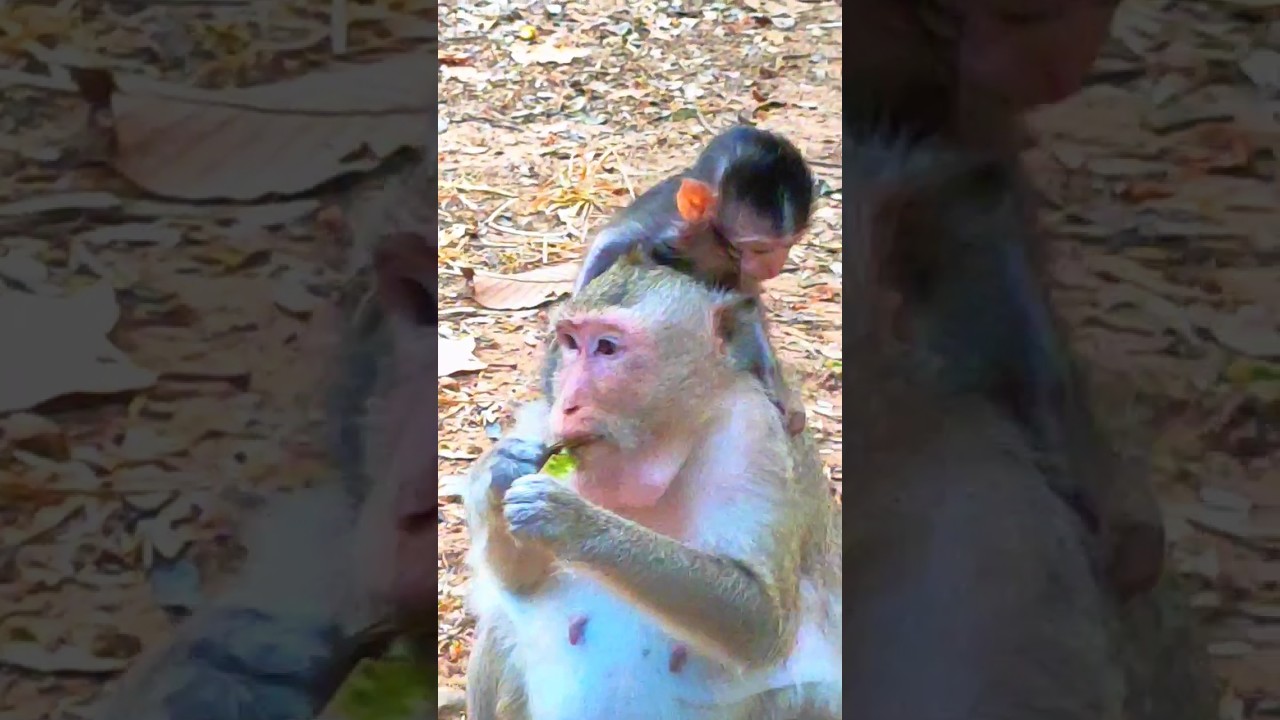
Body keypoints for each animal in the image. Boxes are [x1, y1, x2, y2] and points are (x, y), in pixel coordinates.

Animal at [461, 253, 841, 720]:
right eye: (570, 343)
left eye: (607, 347)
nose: (567, 404)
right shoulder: (540, 421)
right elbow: (524, 583)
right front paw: (499, 471)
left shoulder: (754, 436)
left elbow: (764, 623)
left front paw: (572, 522)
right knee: (501, 626)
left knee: (805, 693)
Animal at [540, 125, 816, 437]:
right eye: (760, 248)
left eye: (788, 245)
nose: (774, 264)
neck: (710, 238)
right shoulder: (669, 229)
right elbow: (613, 245)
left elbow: (743, 298)